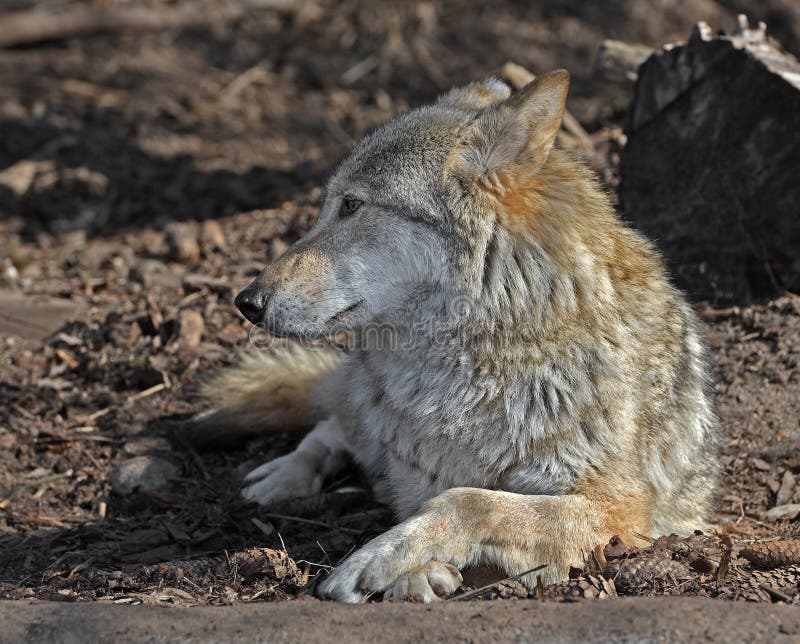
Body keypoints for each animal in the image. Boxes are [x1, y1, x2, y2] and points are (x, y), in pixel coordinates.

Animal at [196, 70, 719, 603]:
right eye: (327, 208)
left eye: (352, 206)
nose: (246, 301)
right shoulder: (415, 476)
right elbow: (442, 499)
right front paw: (413, 570)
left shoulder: (622, 513)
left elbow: (471, 501)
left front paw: (379, 559)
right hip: (363, 408)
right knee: (332, 425)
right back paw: (282, 475)